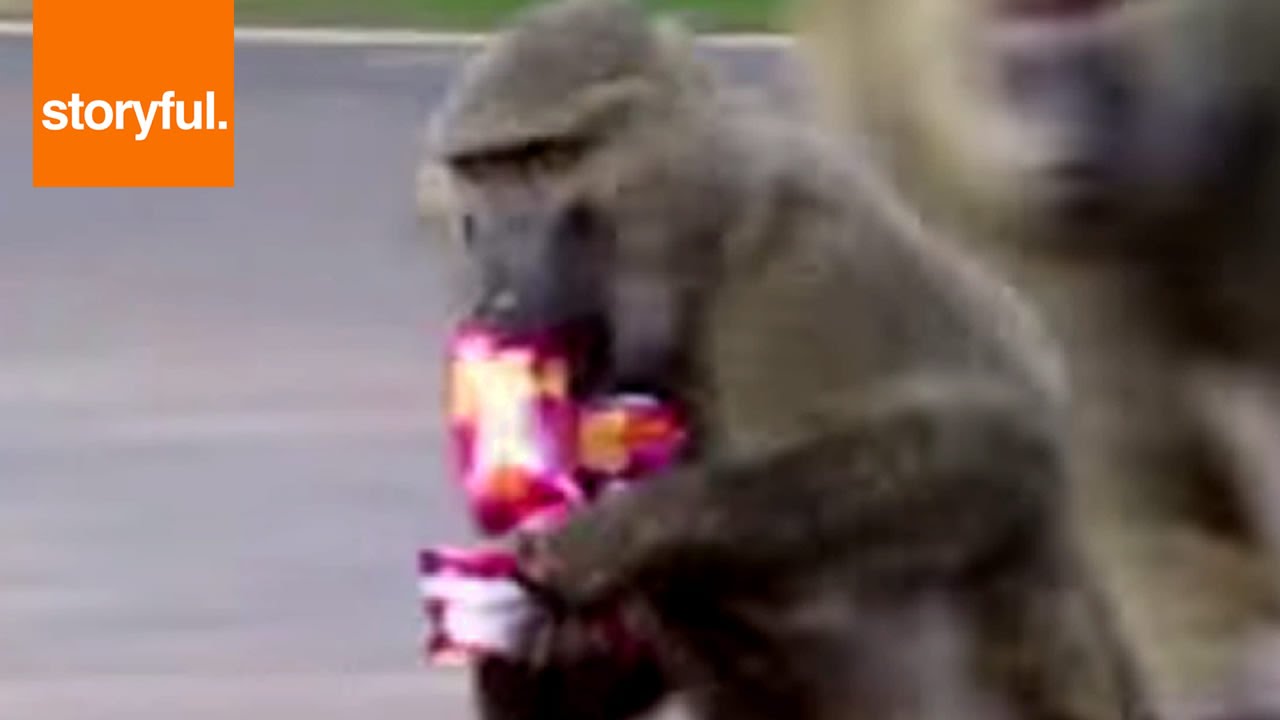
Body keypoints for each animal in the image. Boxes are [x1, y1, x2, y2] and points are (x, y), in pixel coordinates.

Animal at [423, 2, 1155, 718]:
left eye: (547, 158)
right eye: (481, 171)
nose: (498, 300)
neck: (700, 245)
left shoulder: (814, 252)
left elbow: (998, 447)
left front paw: (623, 533)